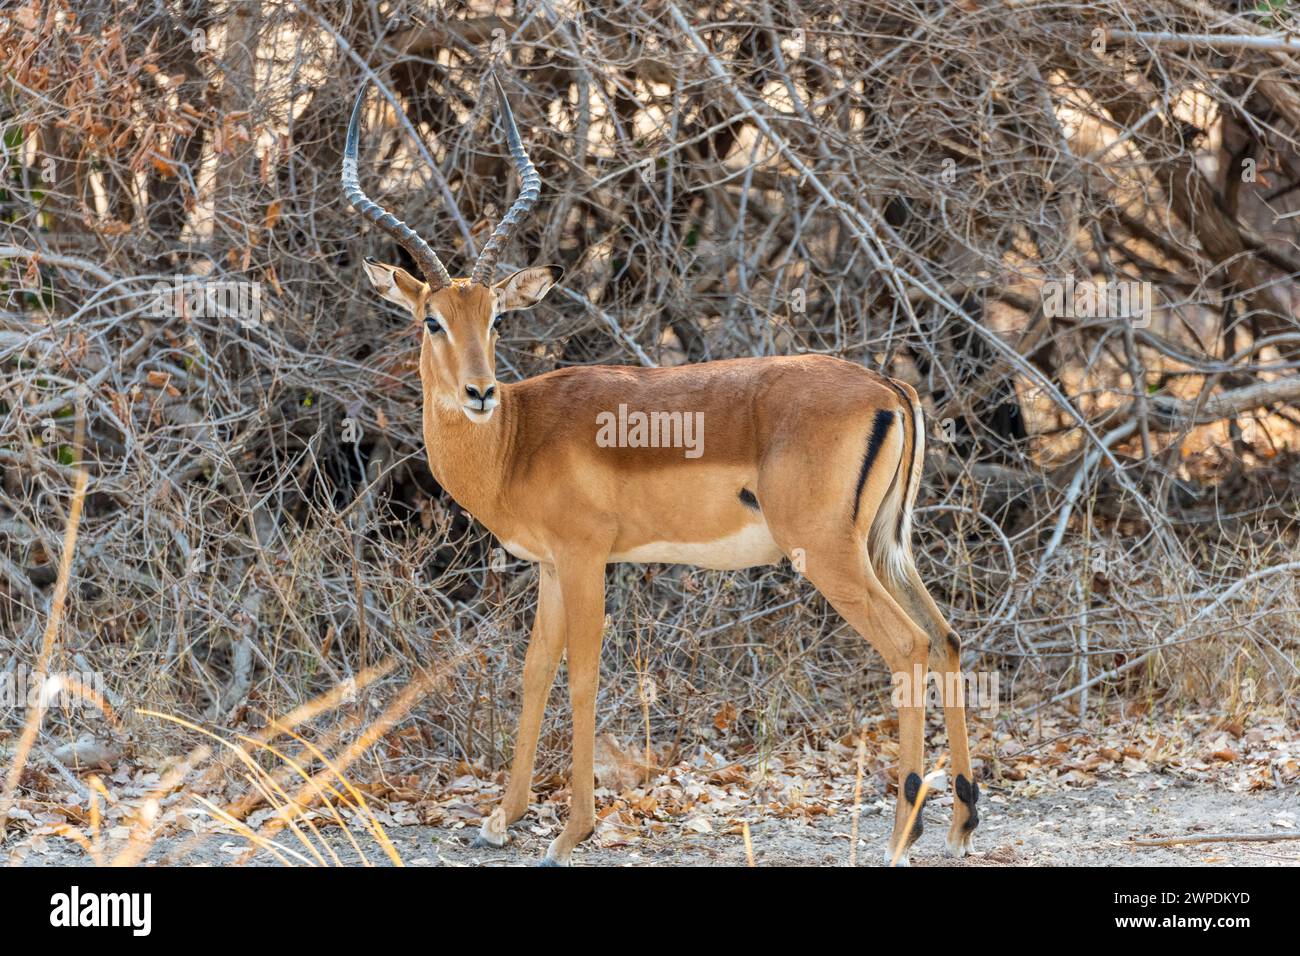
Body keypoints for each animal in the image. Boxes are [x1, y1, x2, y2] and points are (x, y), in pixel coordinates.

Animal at [343, 75, 979, 866]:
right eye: (433, 320)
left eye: (494, 318)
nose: (480, 392)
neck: (517, 439)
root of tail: (889, 389)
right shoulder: (549, 566)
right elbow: (534, 674)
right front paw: (503, 817)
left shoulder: (586, 559)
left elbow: (582, 677)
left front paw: (571, 831)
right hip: (887, 546)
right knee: (946, 637)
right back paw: (960, 821)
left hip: (828, 553)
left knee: (909, 645)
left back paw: (901, 832)